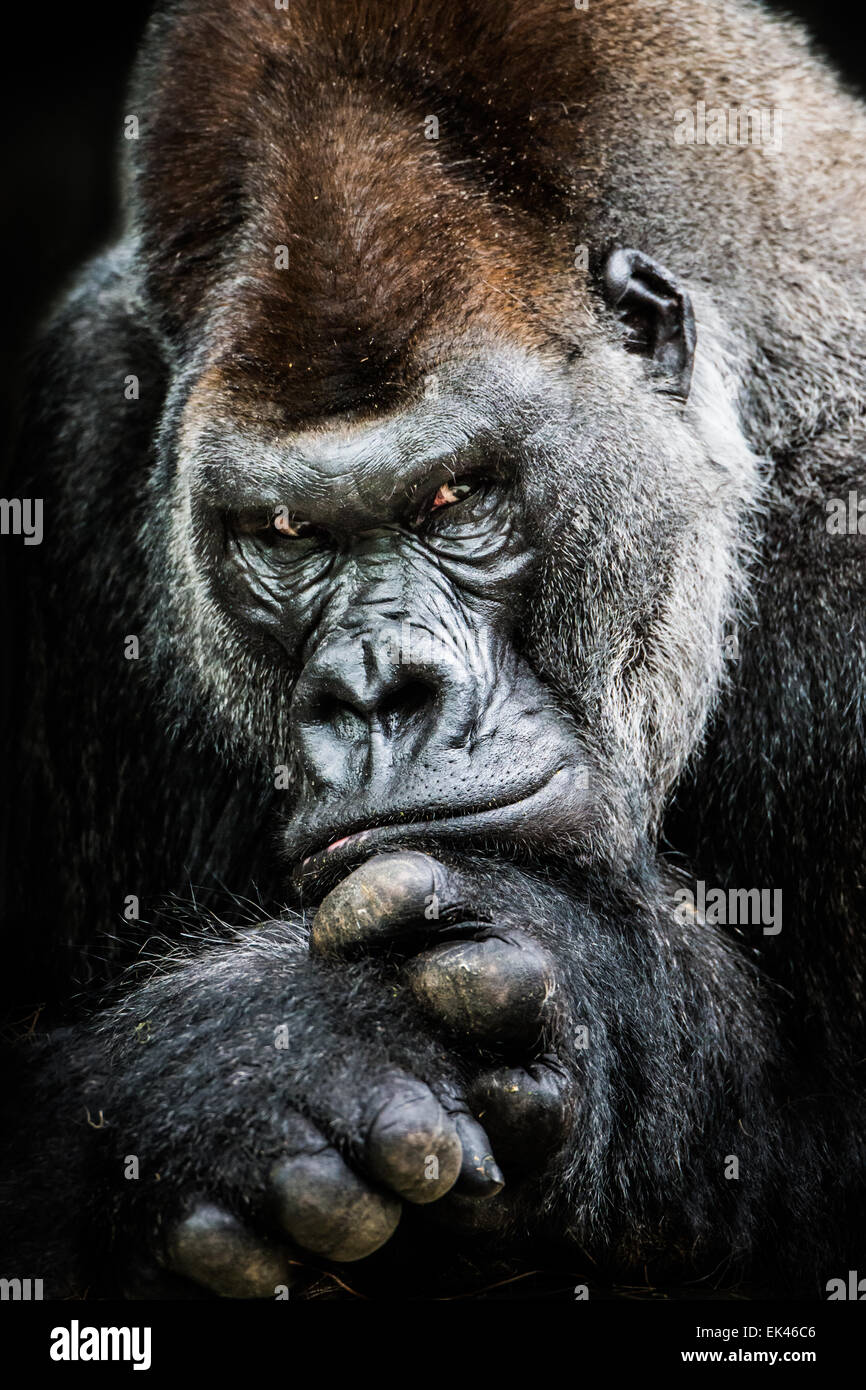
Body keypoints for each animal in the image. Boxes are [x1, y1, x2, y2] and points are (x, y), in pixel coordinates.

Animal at [1, 0, 864, 1299]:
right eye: (284, 532)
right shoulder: (86, 422)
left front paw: (593, 998)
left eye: (457, 497)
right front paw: (241, 1072)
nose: (374, 690)